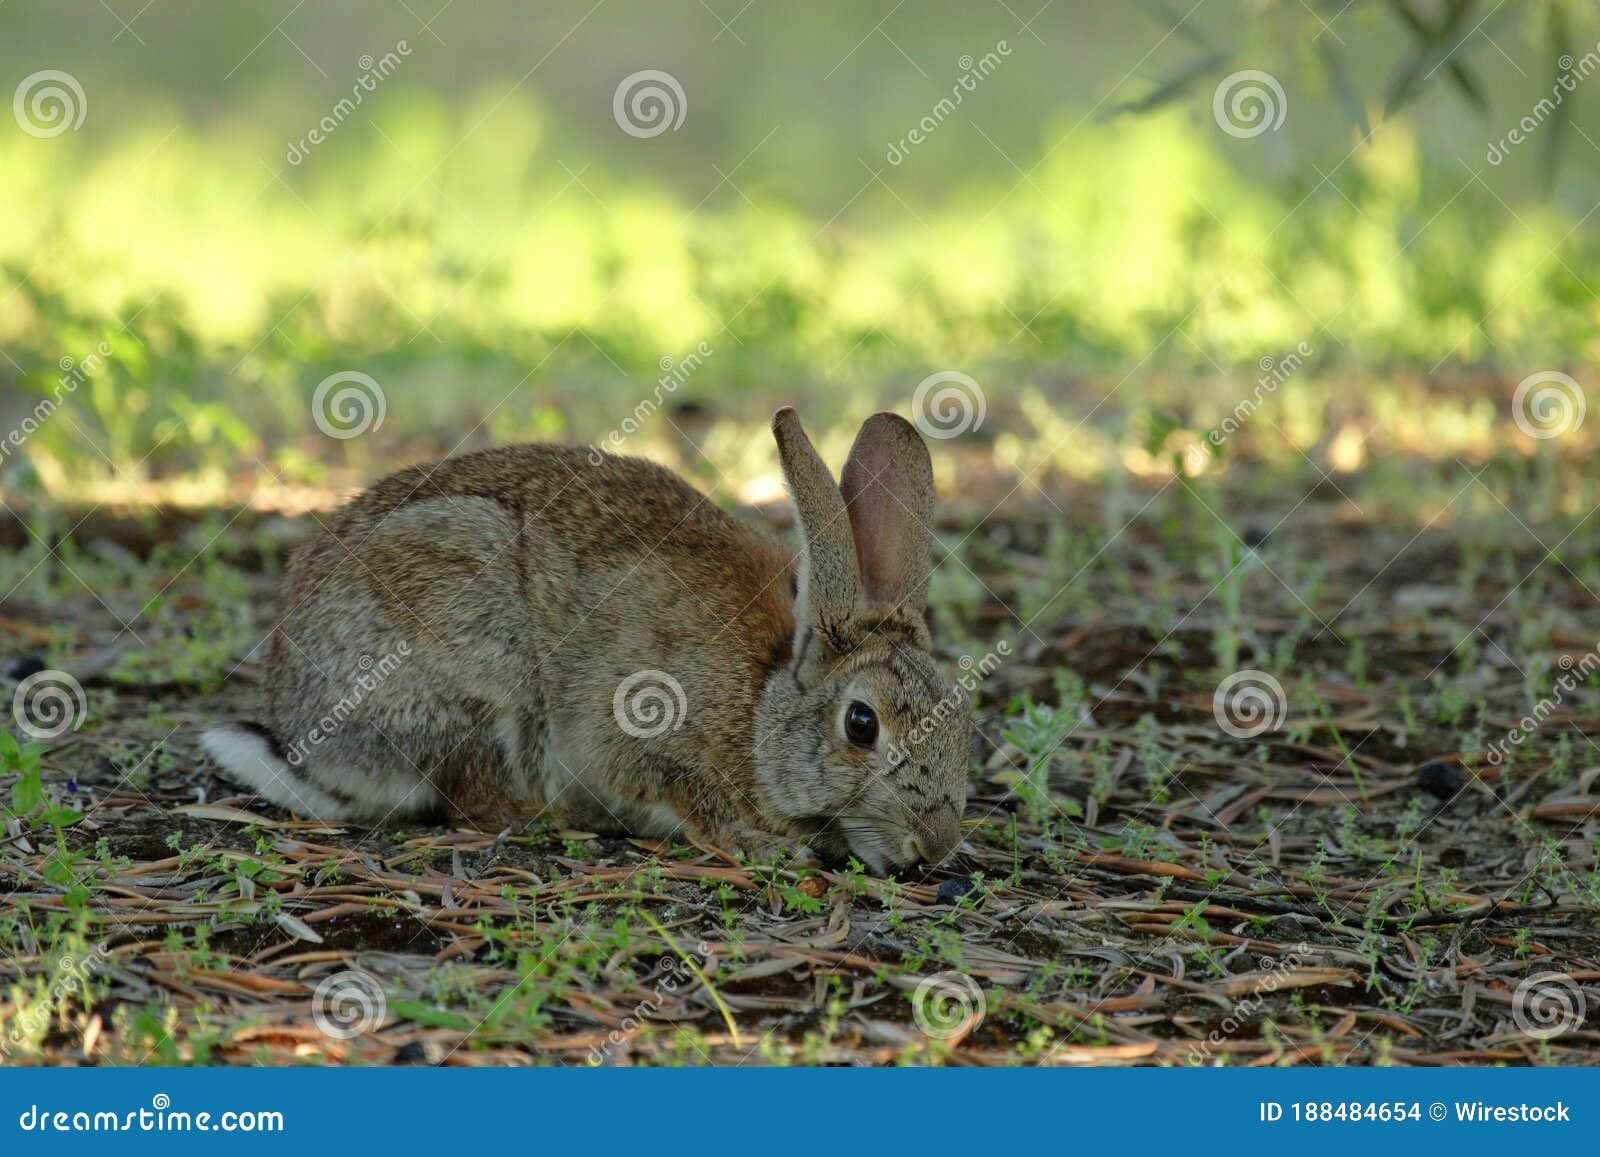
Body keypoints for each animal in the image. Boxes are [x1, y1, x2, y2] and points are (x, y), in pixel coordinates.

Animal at [200, 407, 972, 872]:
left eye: (964, 722)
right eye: (861, 724)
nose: (935, 844)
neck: (762, 702)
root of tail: (302, 735)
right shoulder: (635, 729)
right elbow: (684, 791)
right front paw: (763, 846)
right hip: (471, 660)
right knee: (470, 792)